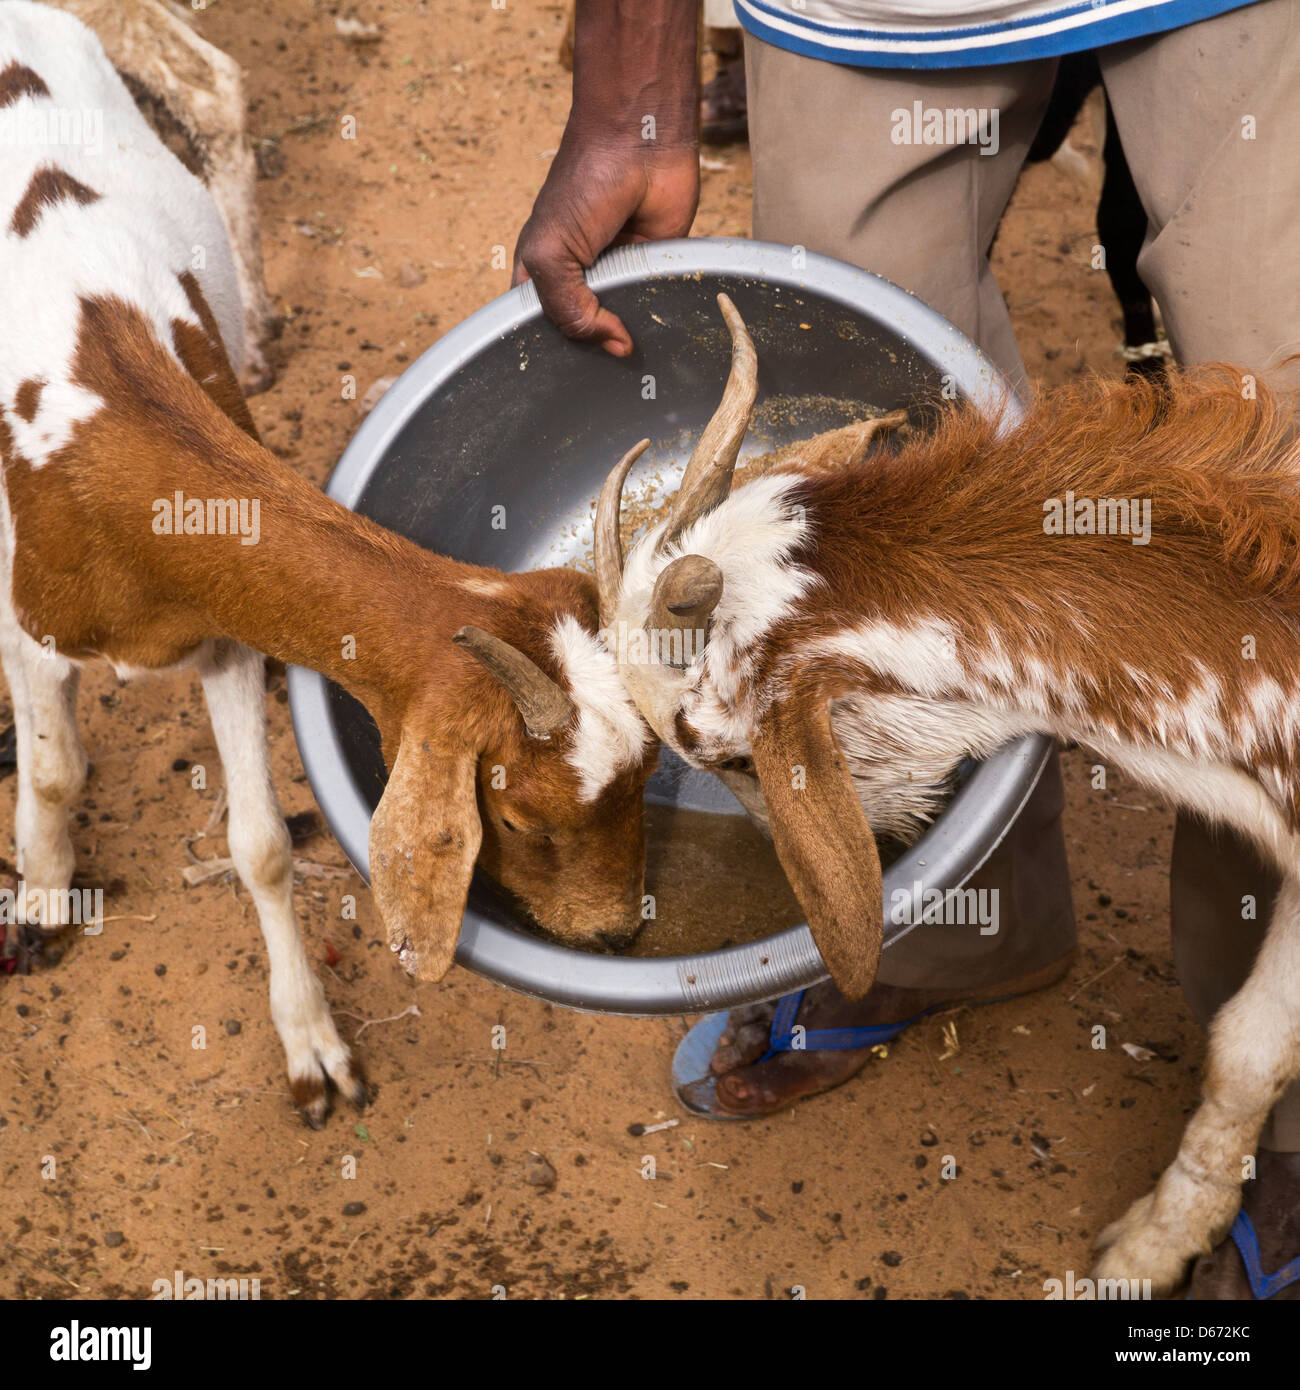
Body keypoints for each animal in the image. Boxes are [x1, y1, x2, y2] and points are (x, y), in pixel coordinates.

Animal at [0, 3, 653, 1125]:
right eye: (518, 812)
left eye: (650, 772)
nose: (617, 933)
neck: (102, 410)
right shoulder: (25, 618)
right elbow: (53, 766)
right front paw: (42, 898)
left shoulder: (223, 629)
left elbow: (261, 847)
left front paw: (312, 1049)